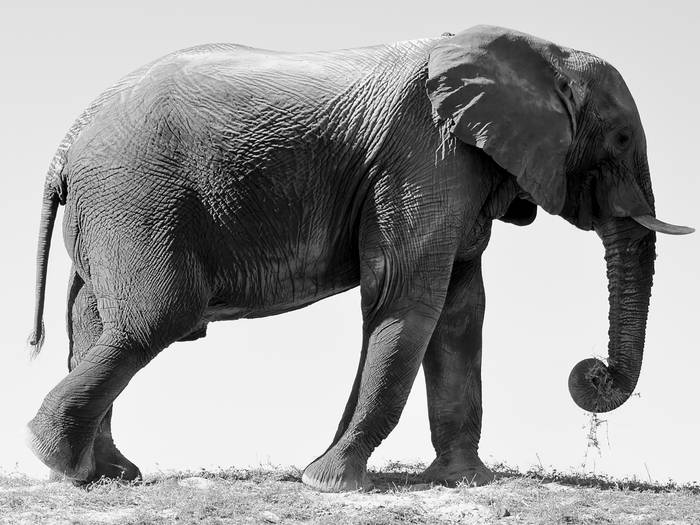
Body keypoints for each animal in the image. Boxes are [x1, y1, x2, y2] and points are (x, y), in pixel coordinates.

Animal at [27, 25, 692, 491]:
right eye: (622, 139)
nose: (591, 373)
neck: (540, 50)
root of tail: (67, 142)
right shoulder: (424, 158)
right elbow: (408, 300)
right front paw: (329, 483)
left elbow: (461, 312)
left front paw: (461, 482)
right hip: (136, 197)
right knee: (156, 318)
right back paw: (59, 459)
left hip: (108, 210)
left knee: (94, 324)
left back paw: (105, 473)